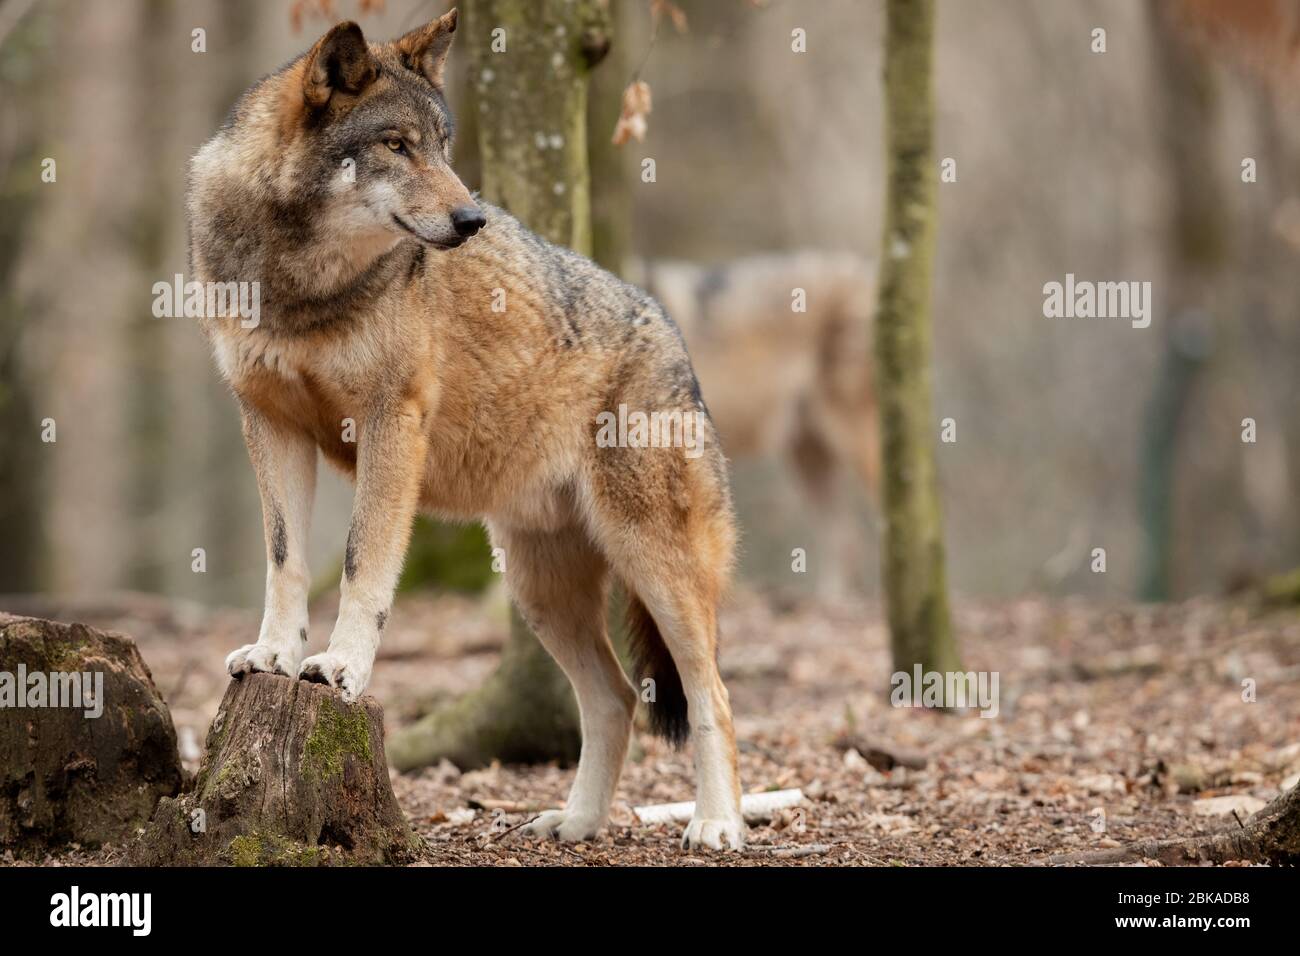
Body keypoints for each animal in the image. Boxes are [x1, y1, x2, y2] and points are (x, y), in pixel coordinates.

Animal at [188, 11, 743, 850]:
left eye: (443, 145)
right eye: (396, 145)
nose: (473, 219)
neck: (301, 282)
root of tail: (674, 335)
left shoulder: (392, 420)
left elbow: (362, 563)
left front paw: (341, 667)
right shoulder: (268, 420)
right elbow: (285, 561)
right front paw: (277, 654)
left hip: (655, 565)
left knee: (713, 694)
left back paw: (717, 825)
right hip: (538, 590)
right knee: (615, 699)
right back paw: (577, 823)